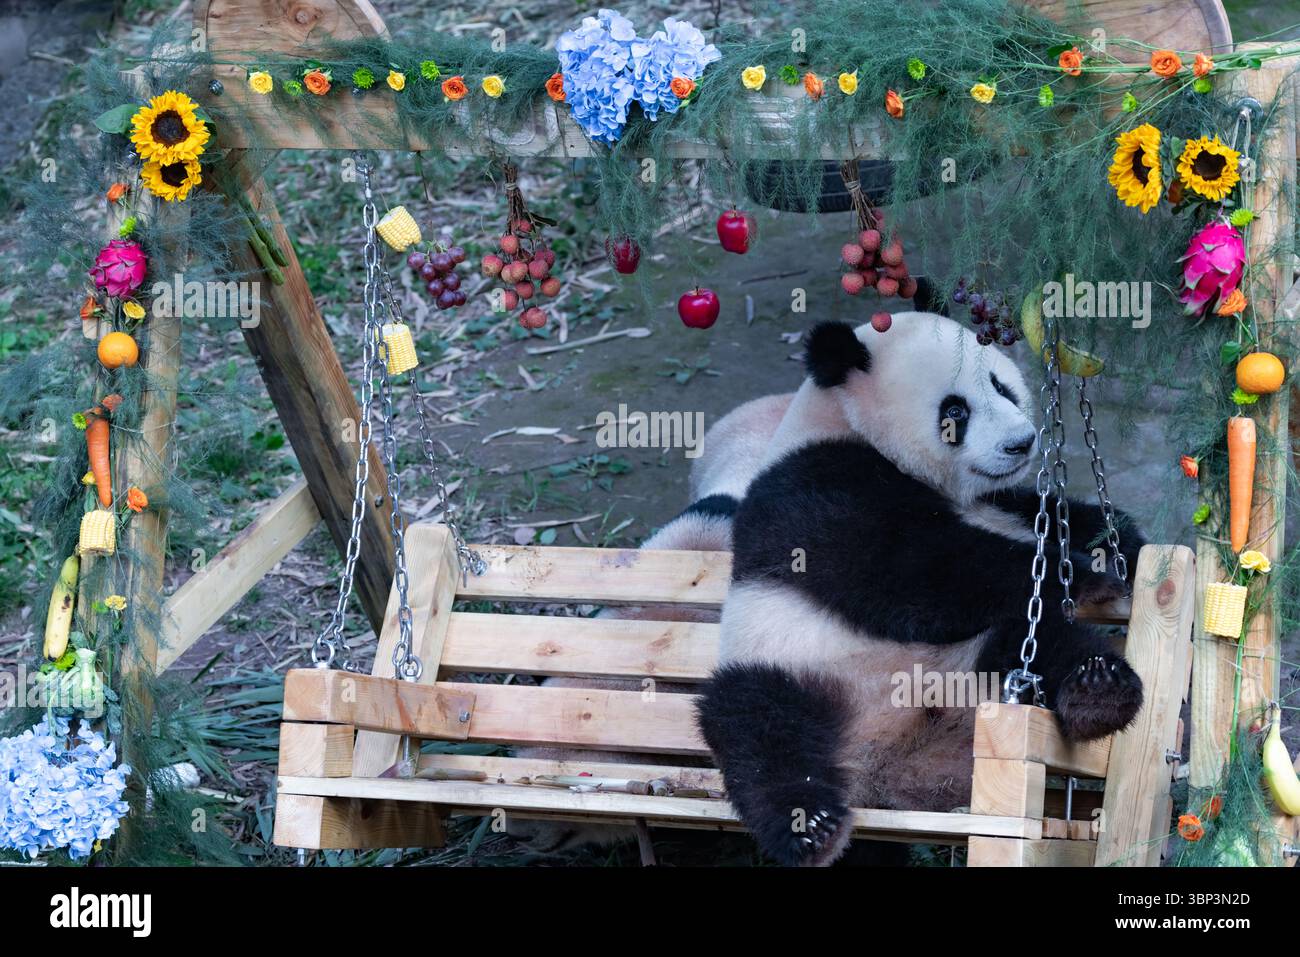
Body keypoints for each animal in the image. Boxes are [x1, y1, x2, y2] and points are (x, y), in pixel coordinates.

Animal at [694, 314, 1146, 867]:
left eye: (1001, 387)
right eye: (955, 410)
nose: (1021, 442)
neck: (844, 421)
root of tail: (887, 768)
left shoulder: (997, 501)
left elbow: (1036, 513)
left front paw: (1117, 543)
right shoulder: (814, 487)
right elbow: (909, 571)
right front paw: (1083, 575)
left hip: (972, 670)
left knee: (1033, 644)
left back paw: (1098, 689)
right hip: (791, 670)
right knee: (755, 727)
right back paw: (811, 827)